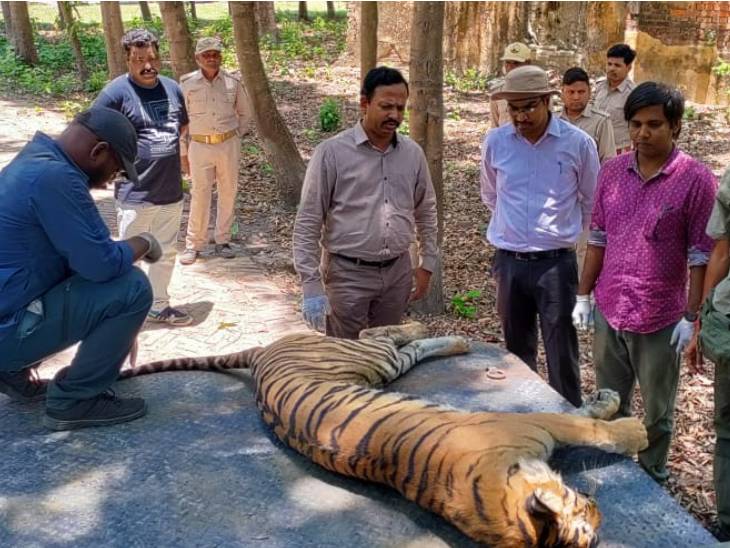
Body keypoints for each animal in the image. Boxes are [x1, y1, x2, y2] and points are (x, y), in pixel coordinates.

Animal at [121, 322, 648, 548]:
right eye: (586, 521)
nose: (599, 507)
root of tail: (262, 353)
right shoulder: (530, 423)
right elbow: (590, 426)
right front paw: (631, 427)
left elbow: (584, 416)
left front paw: (605, 402)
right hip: (371, 358)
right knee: (383, 332)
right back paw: (441, 333)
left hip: (376, 365)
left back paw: (455, 341)